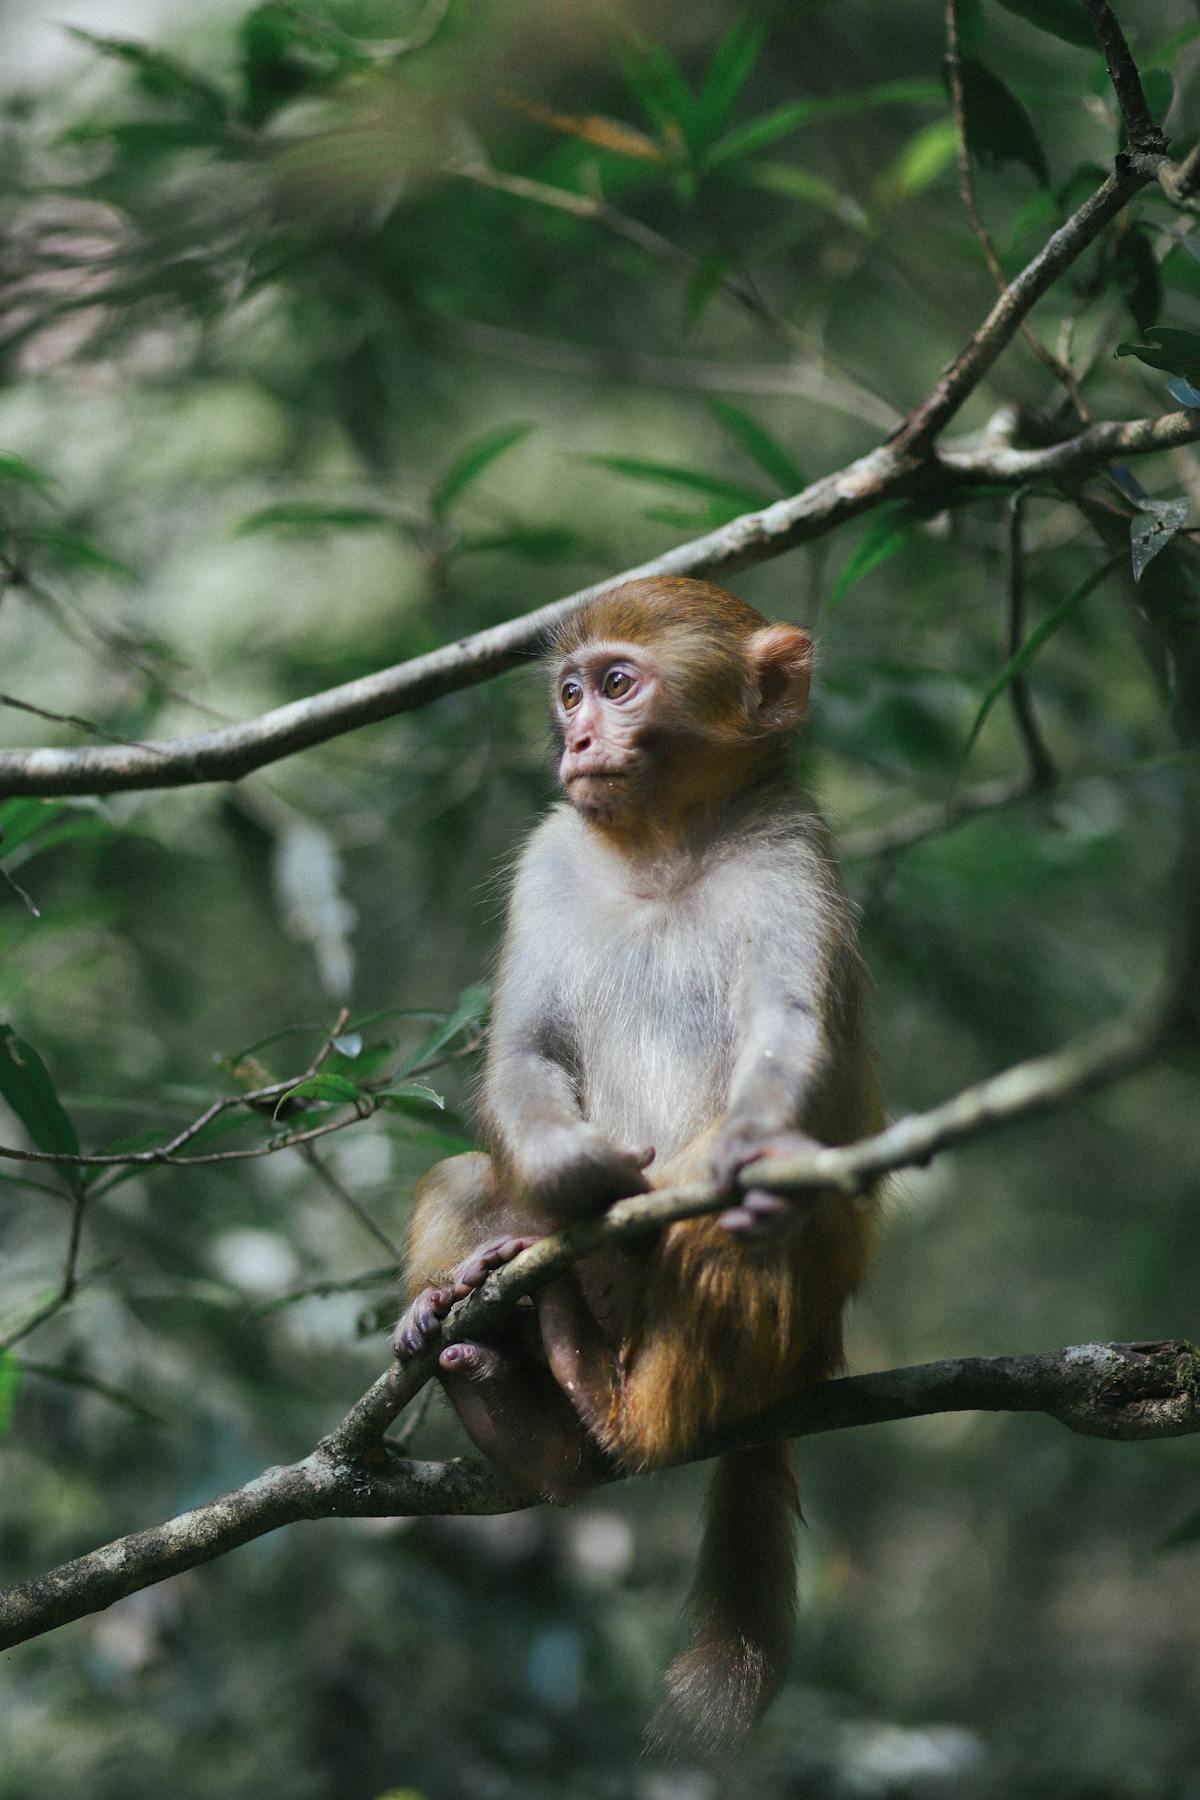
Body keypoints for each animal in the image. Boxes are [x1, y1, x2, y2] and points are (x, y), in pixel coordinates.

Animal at [394, 575, 882, 1755]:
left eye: (620, 684)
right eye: (571, 691)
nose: (575, 735)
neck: (664, 850)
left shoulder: (790, 853)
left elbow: (788, 1033)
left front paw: (713, 1171)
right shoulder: (552, 854)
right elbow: (523, 1055)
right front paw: (577, 1176)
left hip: (793, 1324)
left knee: (743, 1240)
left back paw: (619, 1396)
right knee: (469, 1183)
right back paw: (527, 1410)